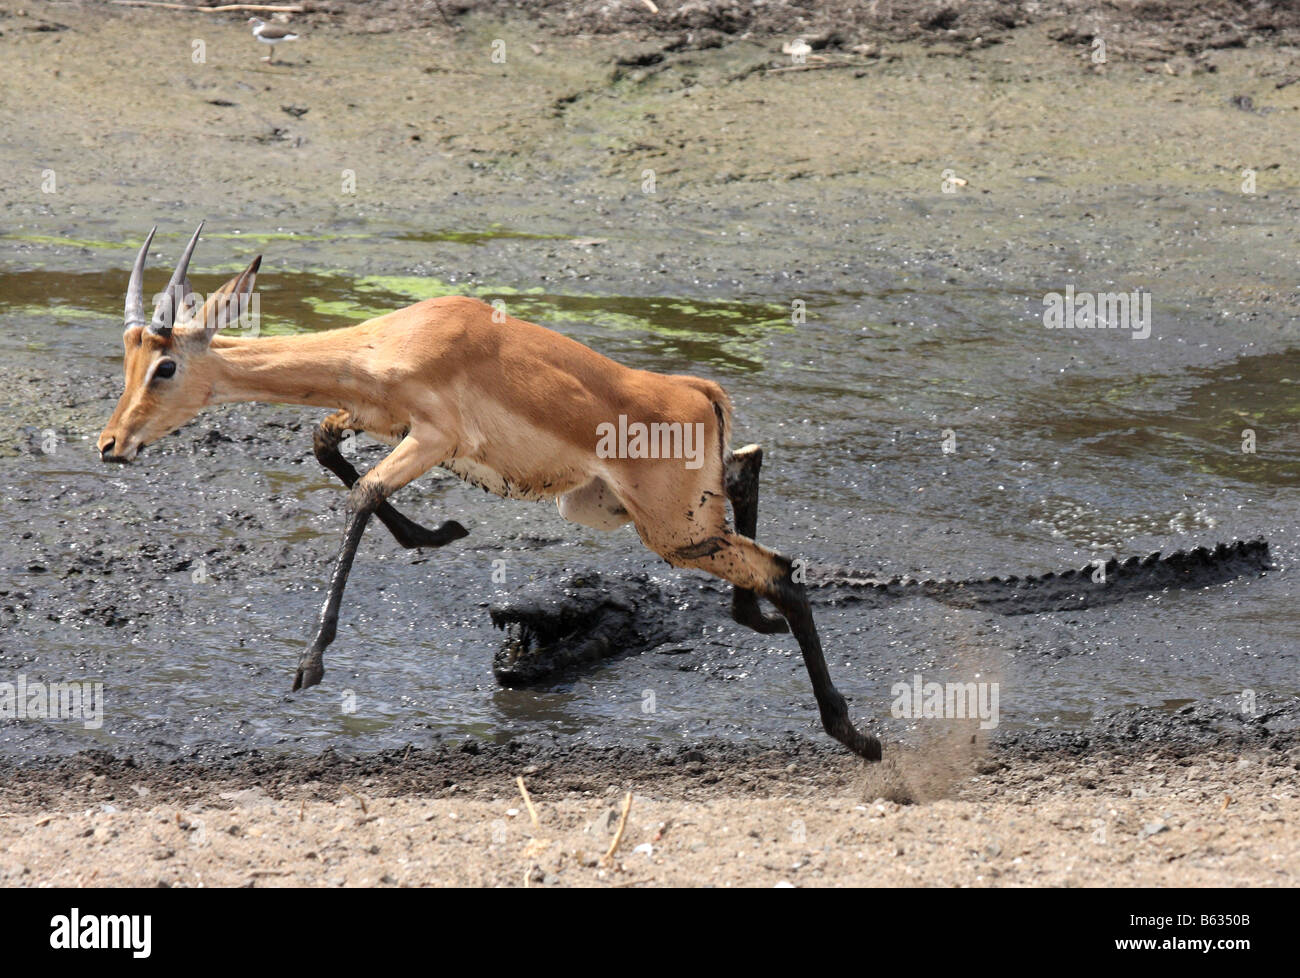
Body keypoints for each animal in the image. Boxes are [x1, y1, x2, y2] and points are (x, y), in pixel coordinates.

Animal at [98, 225, 881, 760]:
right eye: (128, 359)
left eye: (165, 366)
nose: (110, 443)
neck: (388, 344)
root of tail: (696, 390)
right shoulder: (377, 420)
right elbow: (325, 448)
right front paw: (439, 534)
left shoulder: (432, 438)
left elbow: (359, 496)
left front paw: (310, 664)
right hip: (643, 512)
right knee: (750, 475)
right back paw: (762, 629)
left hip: (671, 530)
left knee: (781, 569)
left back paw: (855, 734)